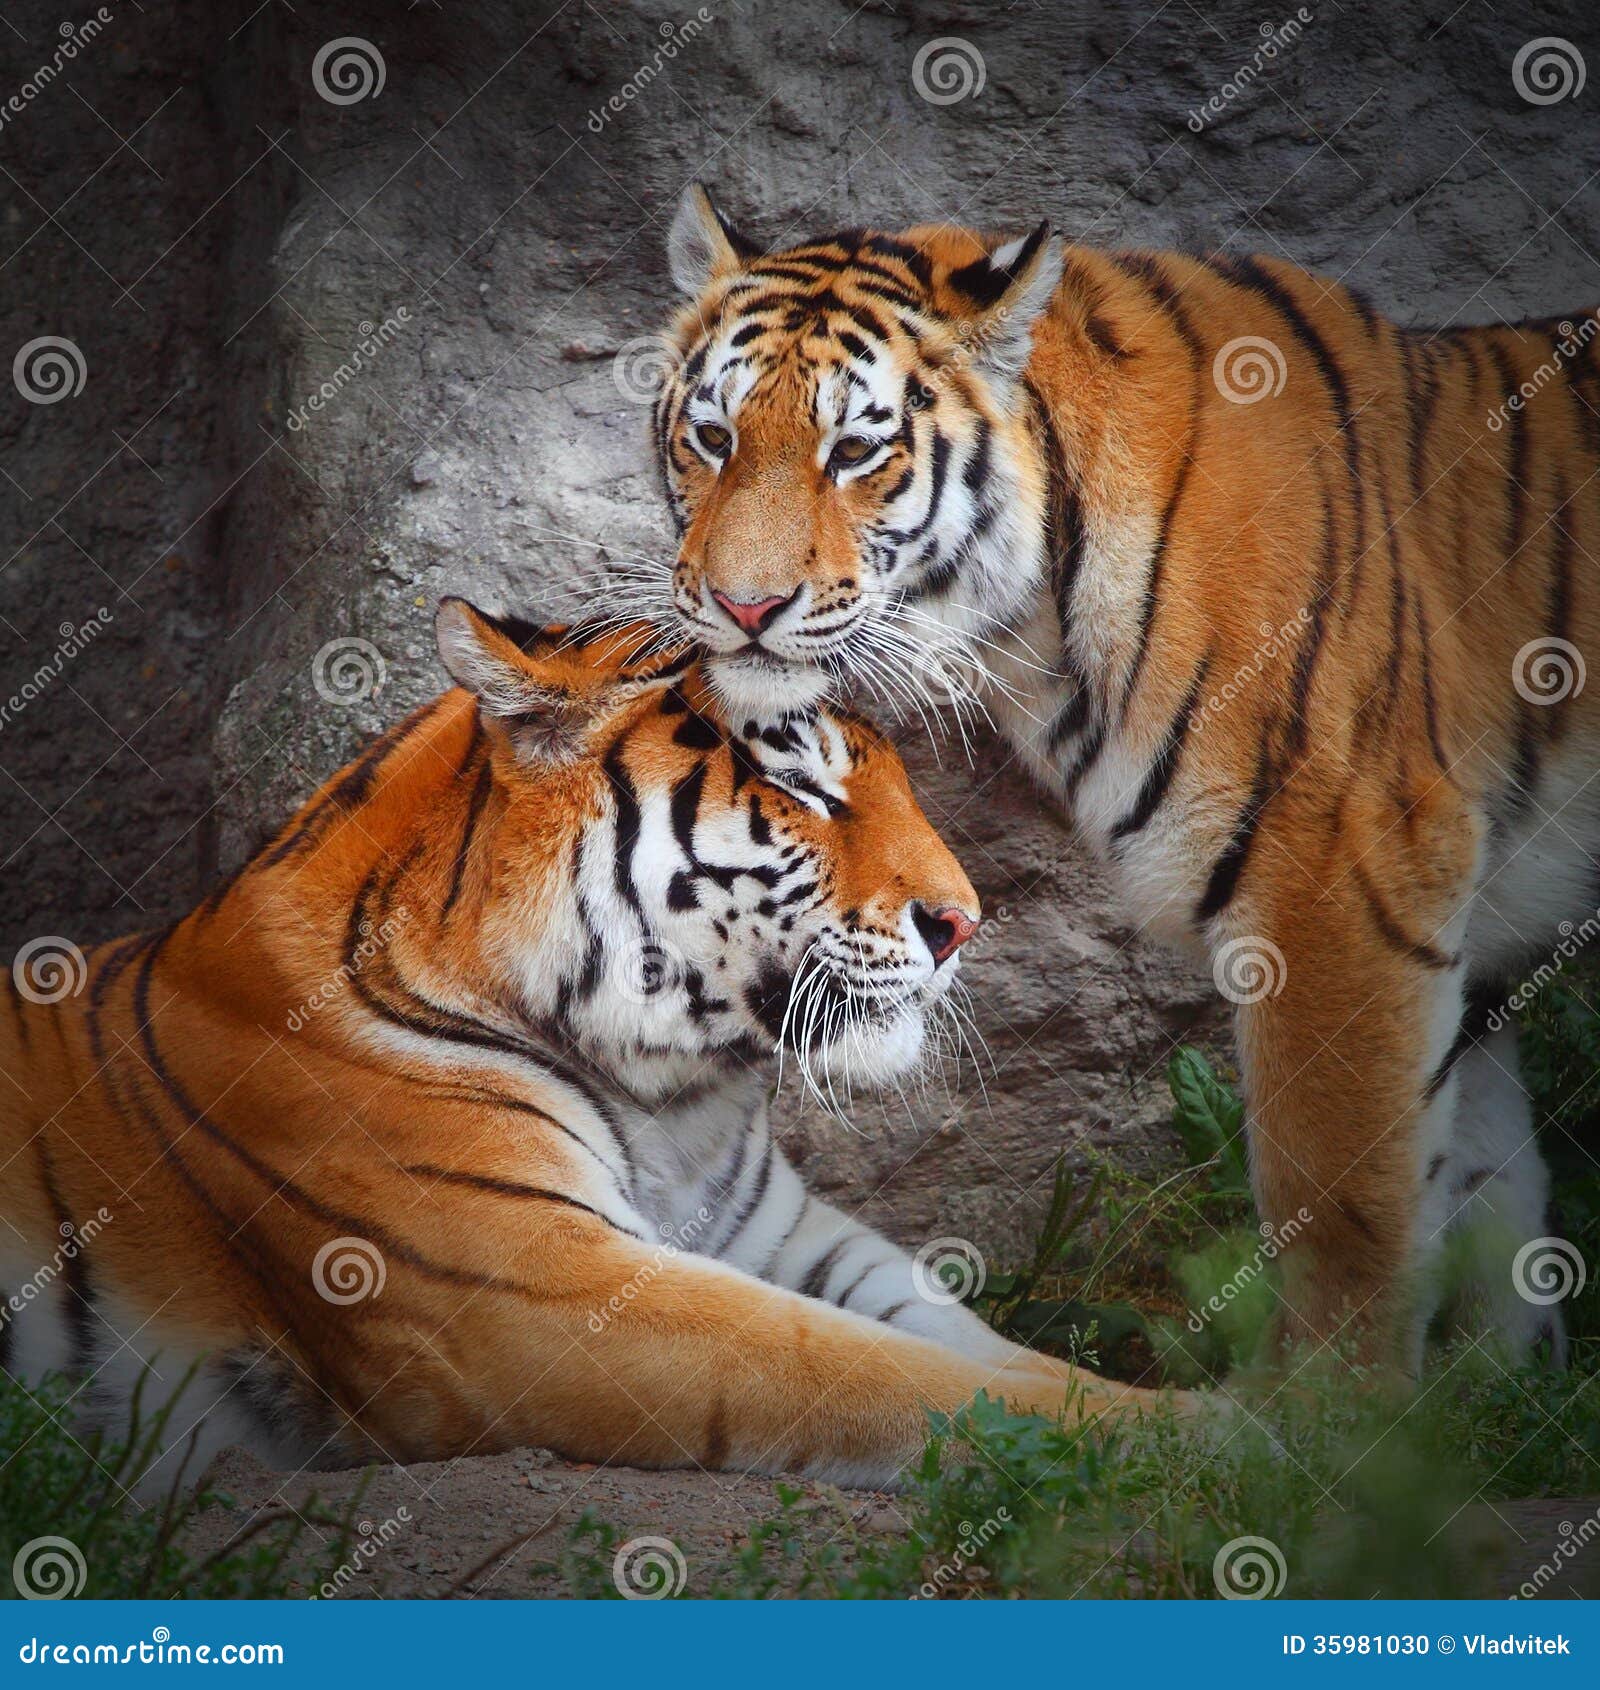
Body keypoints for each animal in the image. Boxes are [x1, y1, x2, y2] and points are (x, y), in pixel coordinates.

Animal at [0, 599, 1188, 1496]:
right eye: (799, 784)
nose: (964, 922)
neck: (679, 1103)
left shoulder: (788, 1242)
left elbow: (975, 1342)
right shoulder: (542, 1296)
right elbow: (883, 1373)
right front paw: (1200, 1436)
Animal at [644, 183, 1600, 1375]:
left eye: (855, 450)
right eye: (712, 437)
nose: (742, 607)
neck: (1029, 627)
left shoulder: (1345, 872)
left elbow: (1347, 1207)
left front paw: (1327, 1414)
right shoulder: (1458, 938)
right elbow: (1481, 1192)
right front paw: (1480, 1399)